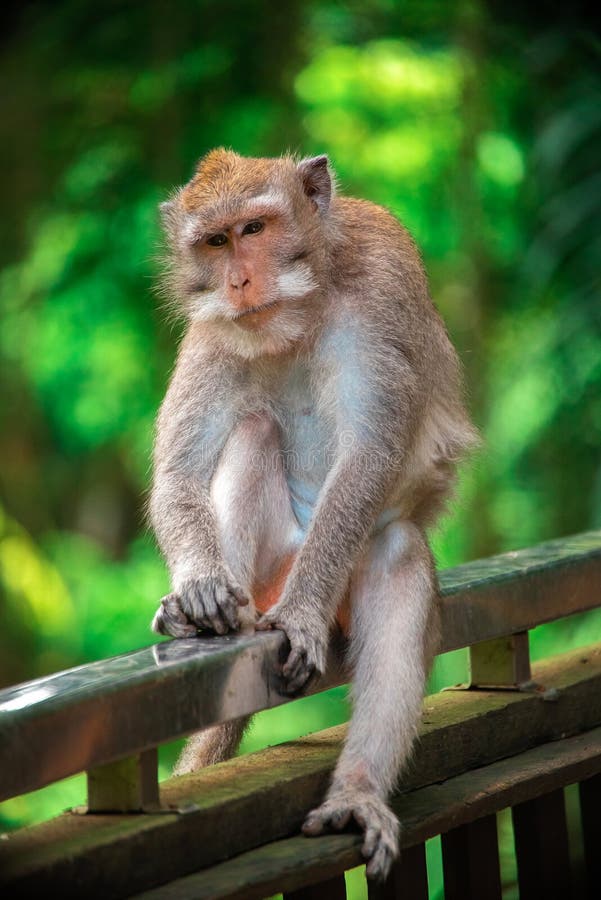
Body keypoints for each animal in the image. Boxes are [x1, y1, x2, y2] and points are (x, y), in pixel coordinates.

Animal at [149, 149, 479, 880]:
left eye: (254, 228)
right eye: (215, 243)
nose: (239, 280)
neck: (303, 308)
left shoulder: (382, 291)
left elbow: (369, 457)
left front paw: (299, 618)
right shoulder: (210, 331)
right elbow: (177, 475)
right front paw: (199, 590)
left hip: (342, 591)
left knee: (396, 554)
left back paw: (356, 792)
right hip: (268, 571)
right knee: (250, 434)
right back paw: (209, 616)